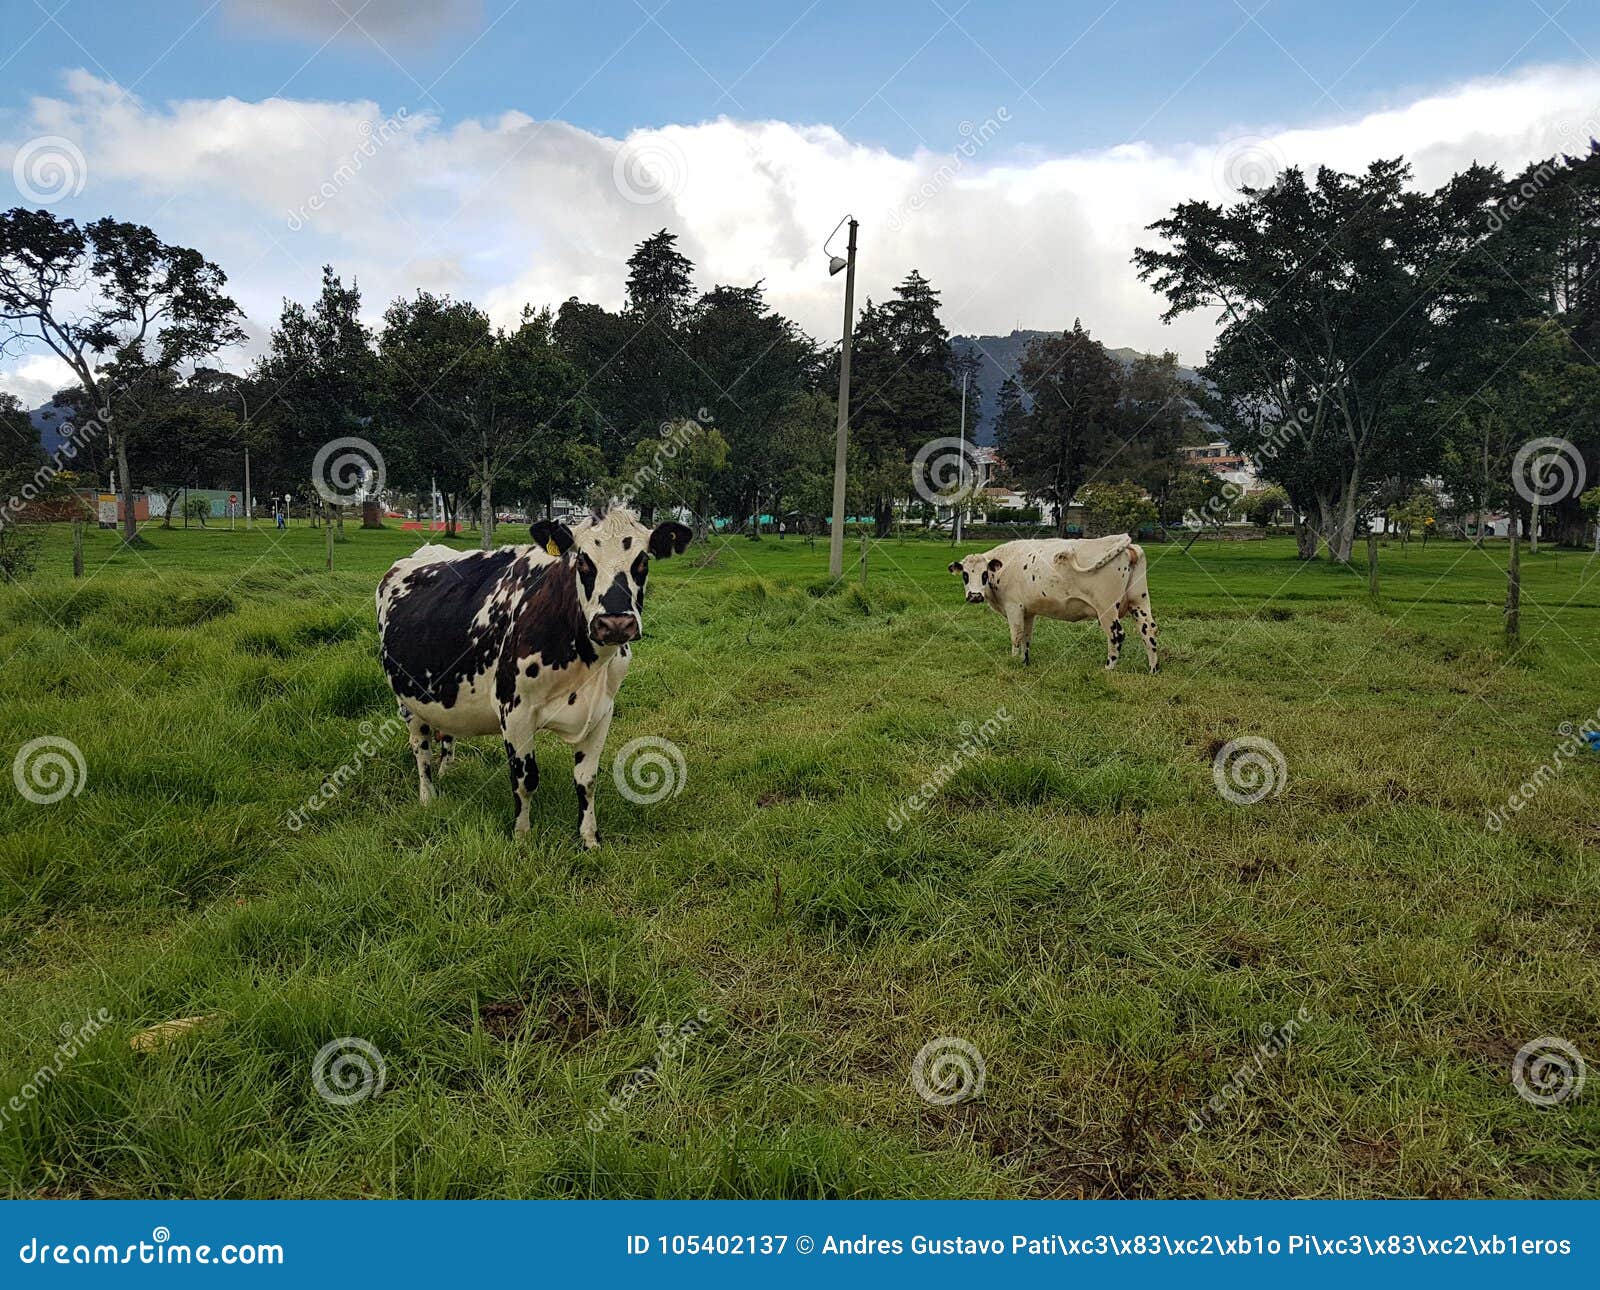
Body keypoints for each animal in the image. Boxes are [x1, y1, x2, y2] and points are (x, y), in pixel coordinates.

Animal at [375, 508, 693, 847]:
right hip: (407, 699)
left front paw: (589, 838)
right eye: (583, 560)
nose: (615, 624)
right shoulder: (514, 710)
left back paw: (448, 769)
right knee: (420, 748)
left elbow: (587, 779)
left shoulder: (602, 711)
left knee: (446, 734)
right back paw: (428, 796)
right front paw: (522, 836)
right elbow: (525, 780)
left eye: (642, 560)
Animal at [948, 533, 1159, 672]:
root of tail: (1125, 544)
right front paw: (1024, 662)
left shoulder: (1014, 607)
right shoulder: (1028, 611)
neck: (1007, 563)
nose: (975, 596)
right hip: (1139, 601)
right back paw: (1153, 669)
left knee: (1117, 634)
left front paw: (1013, 662)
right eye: (965, 575)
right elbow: (1026, 637)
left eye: (984, 573)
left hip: (1107, 608)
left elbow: (1016, 636)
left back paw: (1108, 668)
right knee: (1148, 630)